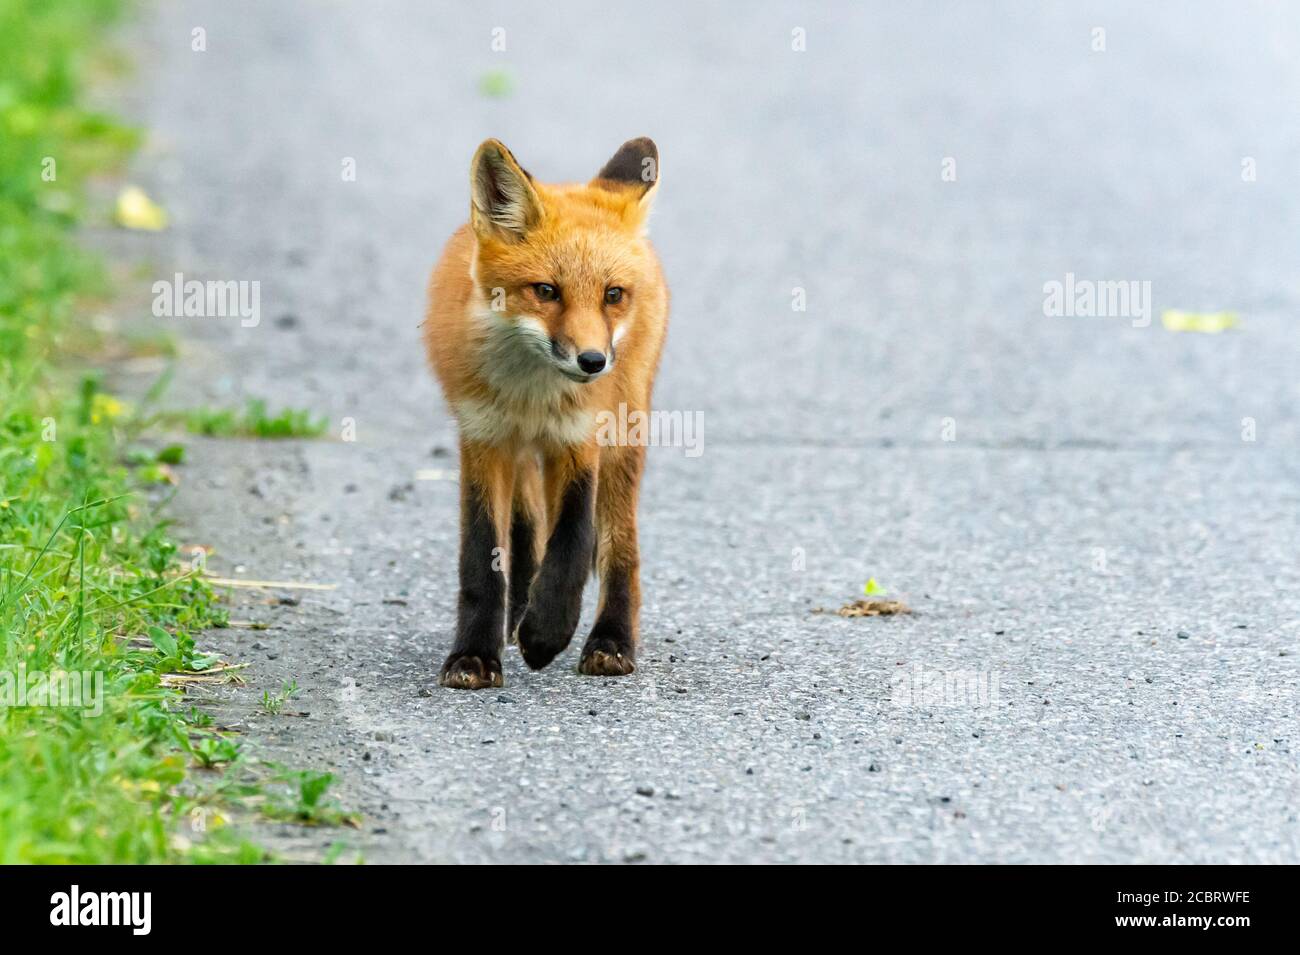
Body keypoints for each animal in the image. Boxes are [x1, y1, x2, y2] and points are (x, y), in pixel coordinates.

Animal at [423, 137, 667, 689]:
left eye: (612, 295)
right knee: (527, 525)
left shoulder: (579, 437)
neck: (531, 396)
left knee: (620, 548)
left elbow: (573, 540)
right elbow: (482, 556)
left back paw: (610, 640)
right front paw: (475, 655)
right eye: (546, 291)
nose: (593, 361)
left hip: (625, 432)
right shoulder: (483, 438)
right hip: (520, 452)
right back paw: (517, 617)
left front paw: (548, 633)